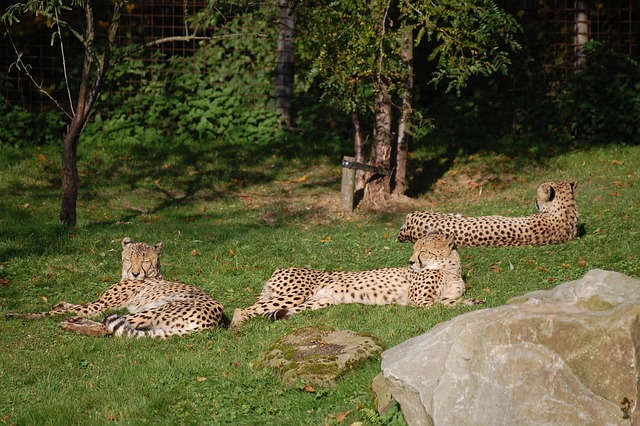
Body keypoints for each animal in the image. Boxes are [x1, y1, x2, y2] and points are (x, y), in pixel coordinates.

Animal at [7, 237, 225, 338]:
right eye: (129, 259)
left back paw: (70, 324)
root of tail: (213, 322)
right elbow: (70, 305)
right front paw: (60, 305)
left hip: (154, 310)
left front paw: (17, 315)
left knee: (105, 327)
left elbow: (49, 312)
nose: (135, 273)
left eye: (145, 261)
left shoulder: (98, 306)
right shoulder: (96, 304)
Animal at [230, 232, 483, 328]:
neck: (449, 268)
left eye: (423, 251)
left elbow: (452, 301)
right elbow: (441, 305)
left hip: (321, 301)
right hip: (294, 294)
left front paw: (474, 303)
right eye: (415, 249)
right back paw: (237, 323)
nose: (411, 262)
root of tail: (280, 268)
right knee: (243, 308)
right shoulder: (420, 302)